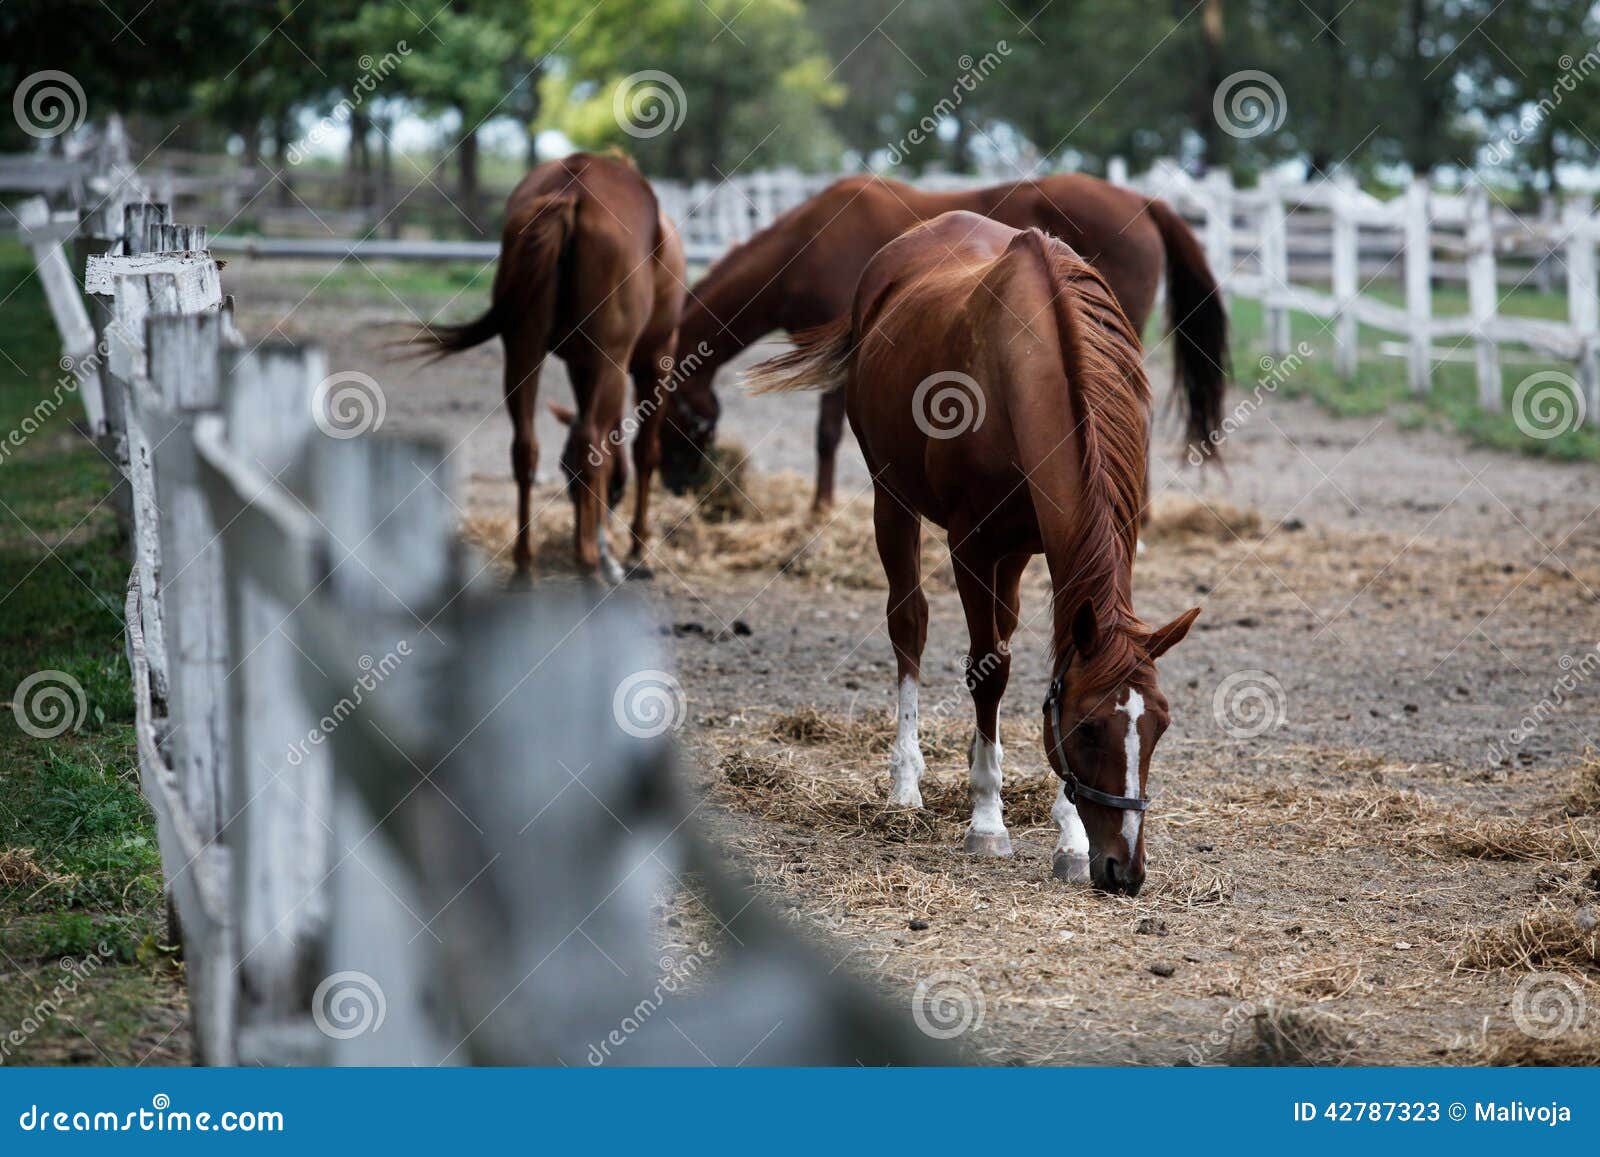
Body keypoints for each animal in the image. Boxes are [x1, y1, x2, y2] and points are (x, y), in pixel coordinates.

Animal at [411, 152, 685, 582]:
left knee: (526, 447)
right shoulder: (653, 359)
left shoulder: (581, 365)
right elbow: (642, 451)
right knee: (593, 443)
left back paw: (527, 562)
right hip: (612, 359)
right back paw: (589, 565)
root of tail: (572, 188)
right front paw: (632, 551)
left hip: (524, 349)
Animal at [662, 173, 1227, 512]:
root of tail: (1142, 201)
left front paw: (819, 510)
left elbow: (825, 436)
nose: (678, 482)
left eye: (672, 416)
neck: (809, 246)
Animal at [748, 212, 1200, 895]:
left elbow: (1044, 660)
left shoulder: (1048, 552)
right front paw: (987, 821)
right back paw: (905, 784)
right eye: (1089, 727)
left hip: (1012, 556)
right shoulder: (971, 544)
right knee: (909, 625)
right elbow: (988, 671)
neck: (1024, 370)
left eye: (1161, 726)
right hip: (892, 501)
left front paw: (1068, 837)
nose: (1125, 871)